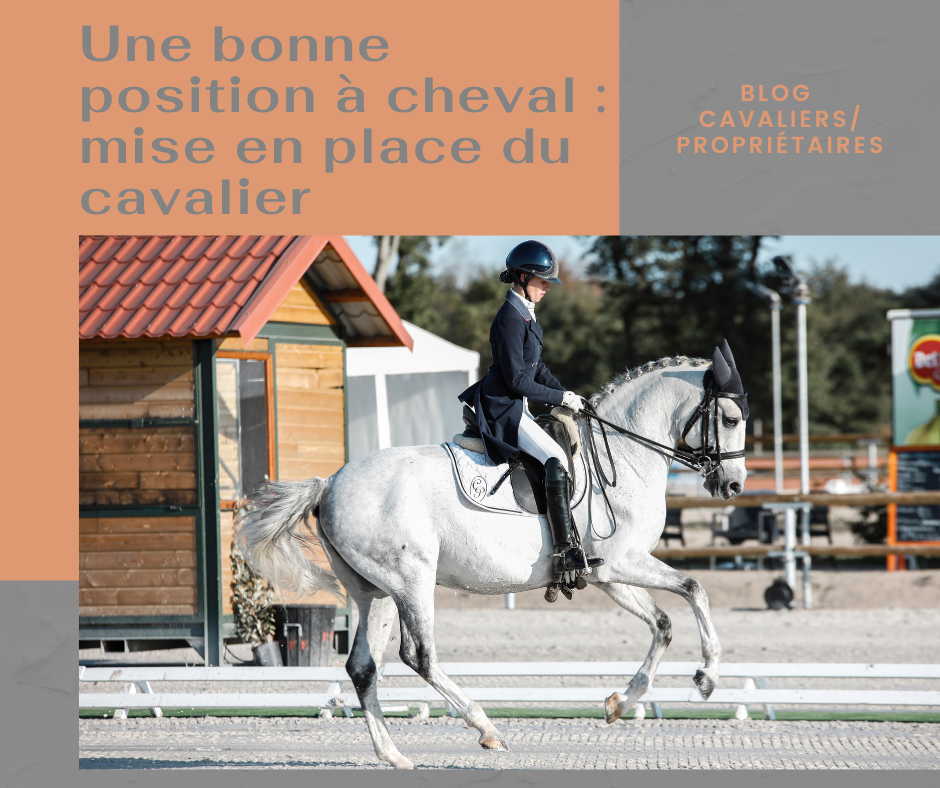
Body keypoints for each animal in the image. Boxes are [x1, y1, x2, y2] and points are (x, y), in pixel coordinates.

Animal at [235, 347, 748, 769]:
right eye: (728, 419)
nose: (734, 486)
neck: (623, 455)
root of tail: (330, 484)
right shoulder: (625, 561)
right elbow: (695, 589)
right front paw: (707, 677)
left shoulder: (608, 573)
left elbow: (662, 623)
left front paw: (621, 703)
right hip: (410, 581)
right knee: (418, 655)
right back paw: (485, 728)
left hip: (373, 591)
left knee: (364, 666)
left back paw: (393, 755)